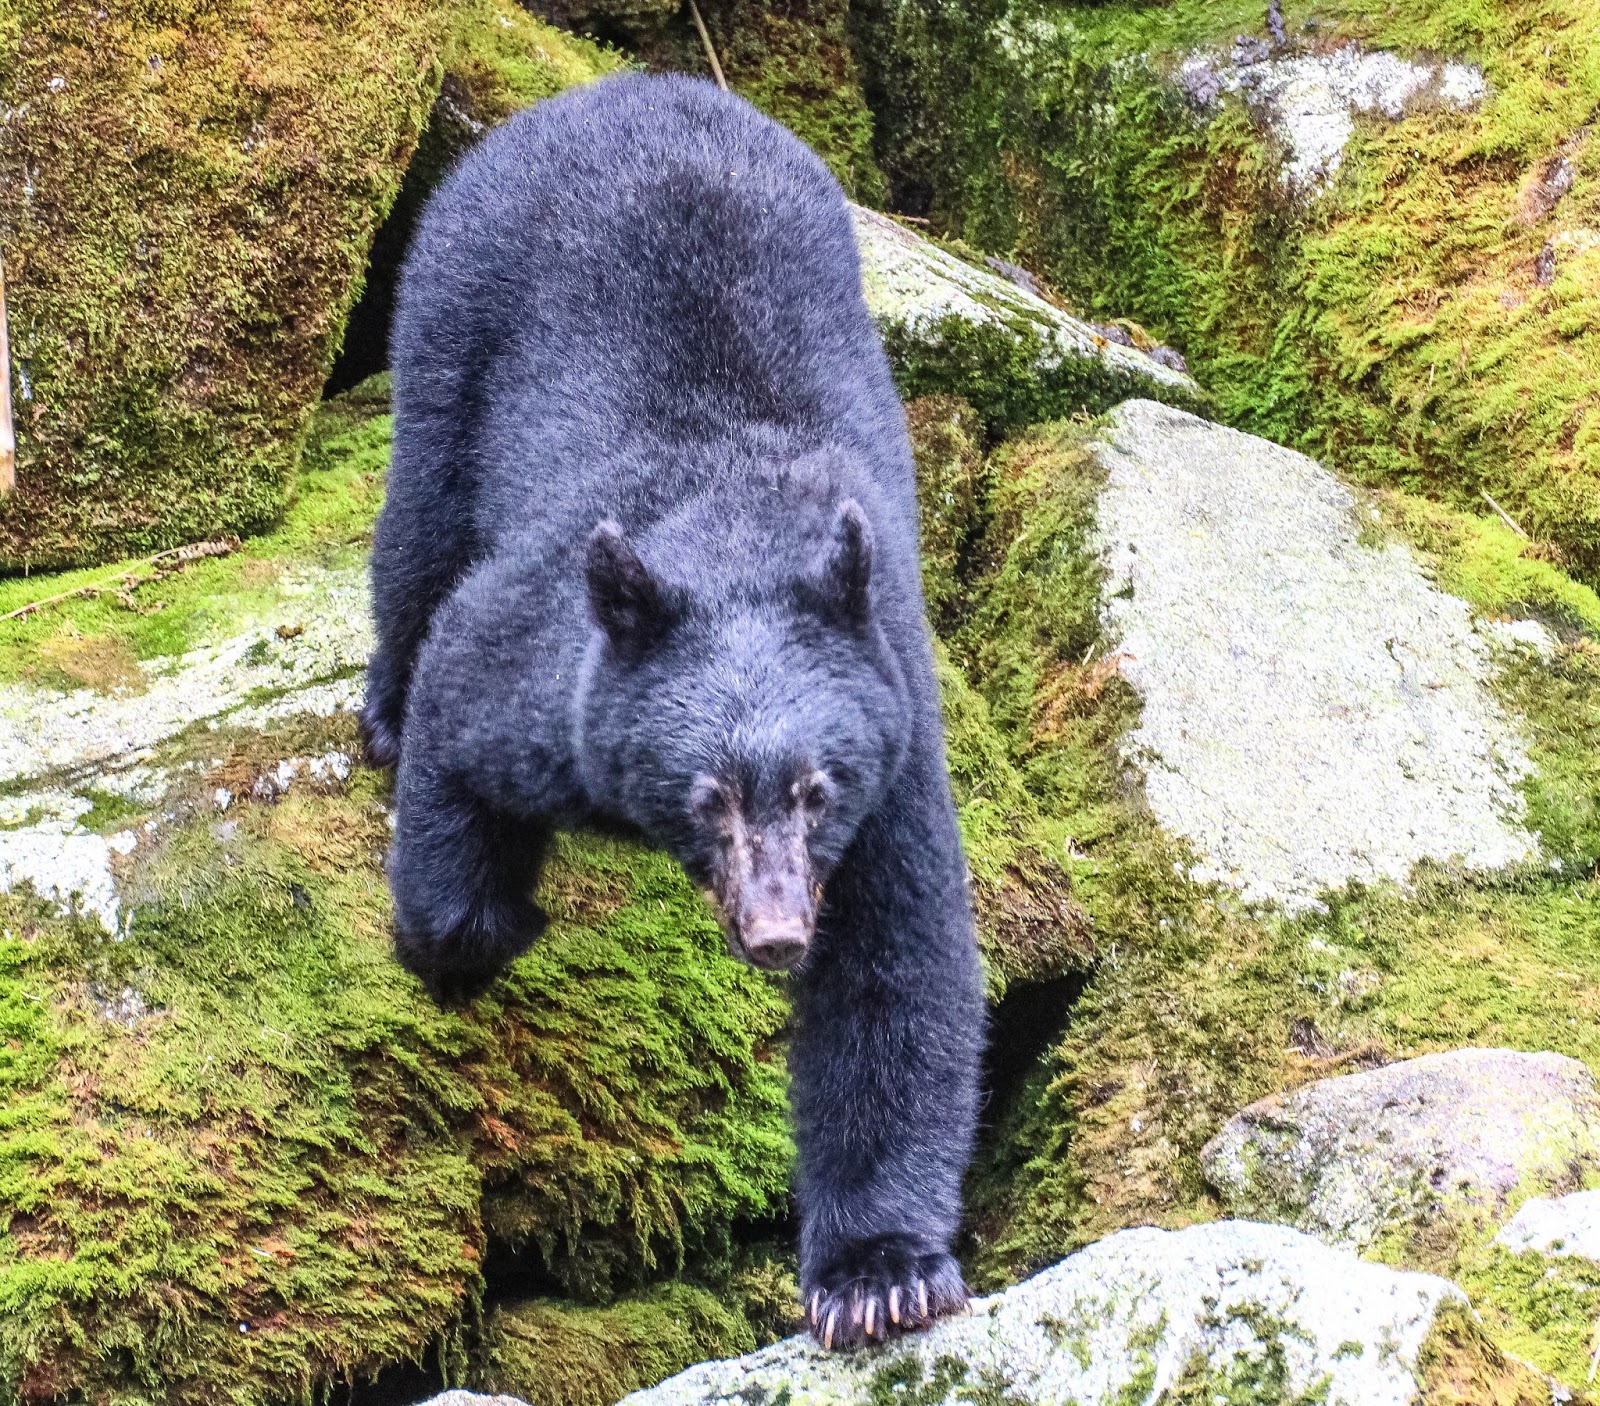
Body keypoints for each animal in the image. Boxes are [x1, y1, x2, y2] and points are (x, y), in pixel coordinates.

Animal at [363, 72, 985, 1351]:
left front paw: (878, 1275)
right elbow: (462, 691)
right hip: (452, 309)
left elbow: (897, 975)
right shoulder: (554, 662)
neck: (739, 532)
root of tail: (622, 85)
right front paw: (470, 933)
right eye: (706, 795)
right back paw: (381, 704)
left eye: (815, 789)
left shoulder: (894, 727)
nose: (778, 929)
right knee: (419, 521)